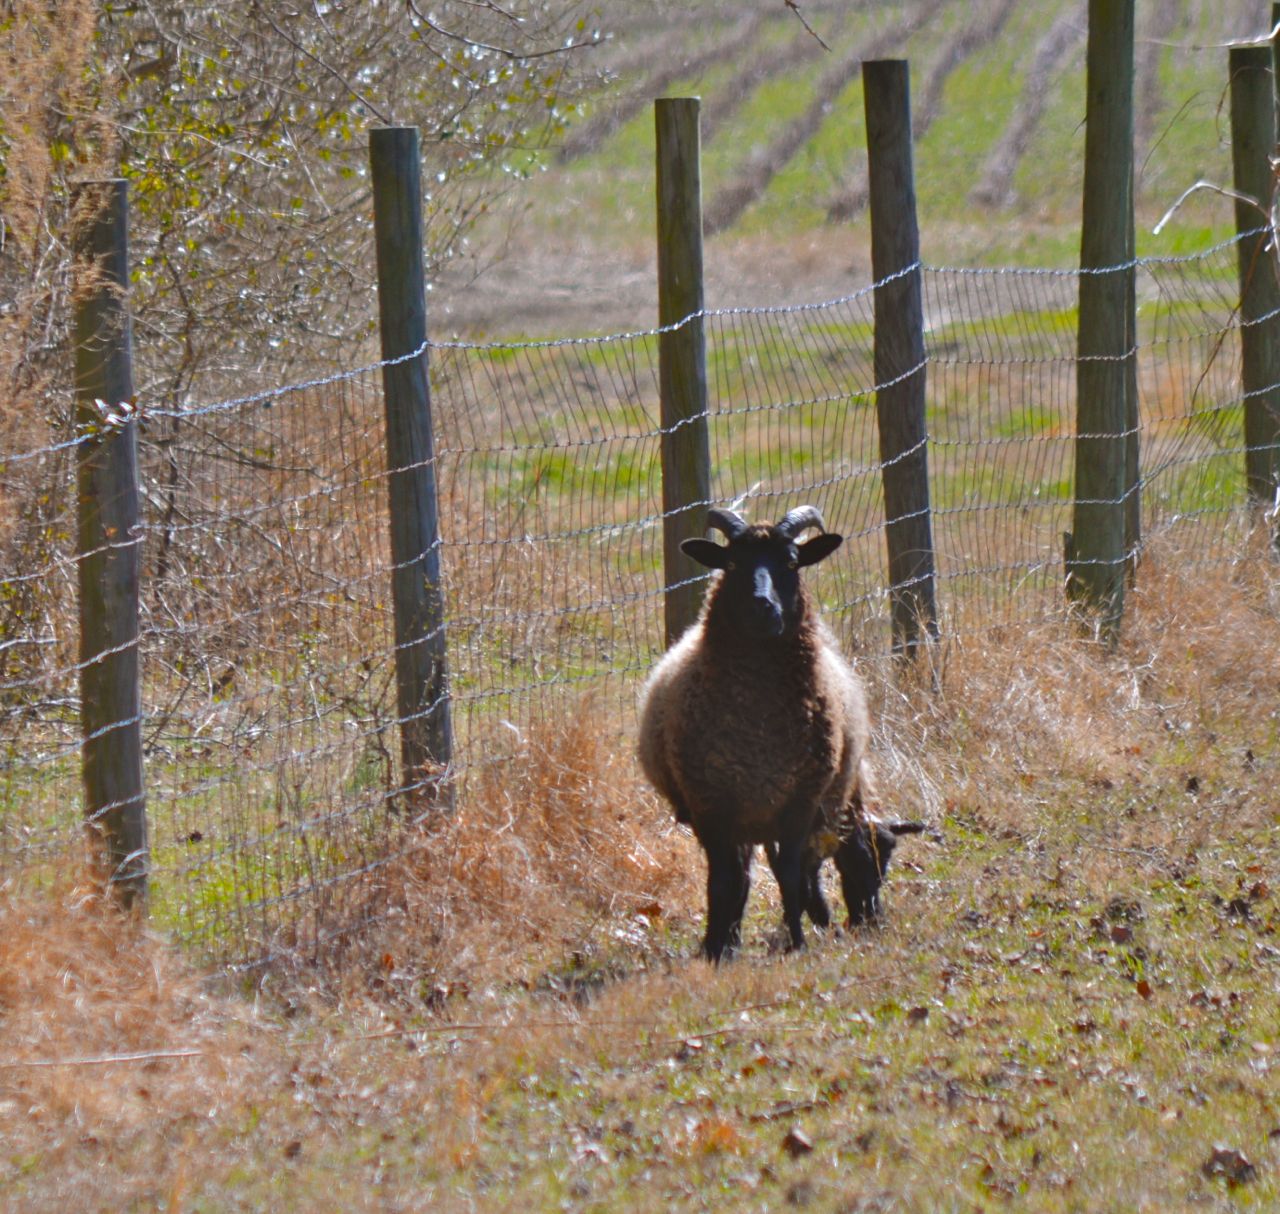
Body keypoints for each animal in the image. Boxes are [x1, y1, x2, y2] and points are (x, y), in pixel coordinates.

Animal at [638, 503, 910, 960]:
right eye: (731, 563)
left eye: (791, 562)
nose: (762, 607)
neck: (758, 727)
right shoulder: (711, 803)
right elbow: (723, 880)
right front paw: (716, 950)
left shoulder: (800, 800)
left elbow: (788, 872)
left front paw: (797, 939)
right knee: (738, 873)